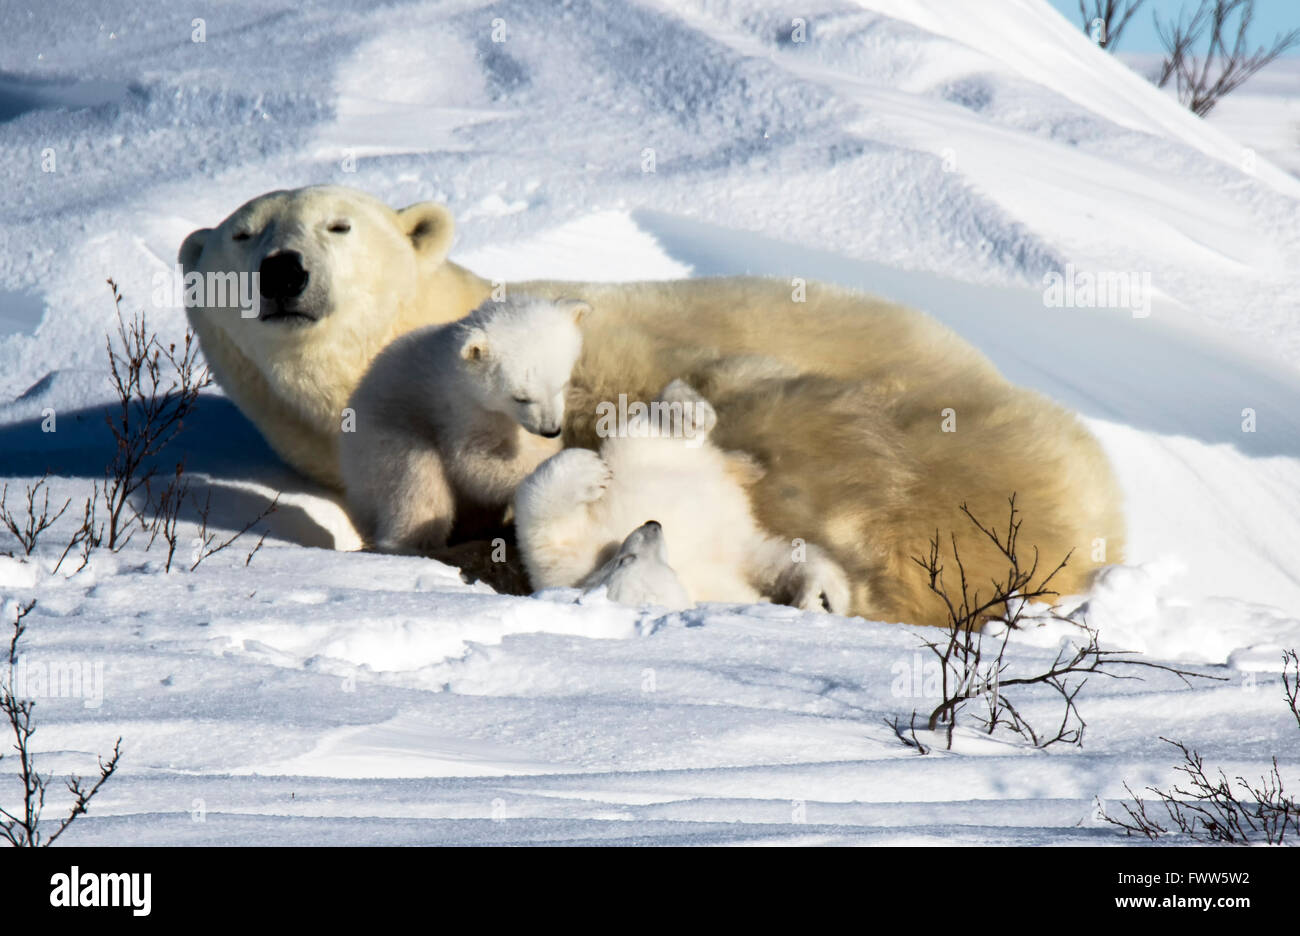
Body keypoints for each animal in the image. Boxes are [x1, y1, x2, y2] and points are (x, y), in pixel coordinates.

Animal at [339, 295, 588, 553]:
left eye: (561, 384)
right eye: (520, 397)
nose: (550, 430)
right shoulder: (462, 410)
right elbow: (475, 461)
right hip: (382, 433)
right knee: (415, 478)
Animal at [516, 379, 852, 613]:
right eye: (626, 559)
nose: (652, 524)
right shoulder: (565, 566)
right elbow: (541, 526)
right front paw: (589, 471)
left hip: (646, 460)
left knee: (645, 429)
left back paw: (688, 412)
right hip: (731, 537)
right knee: (771, 556)